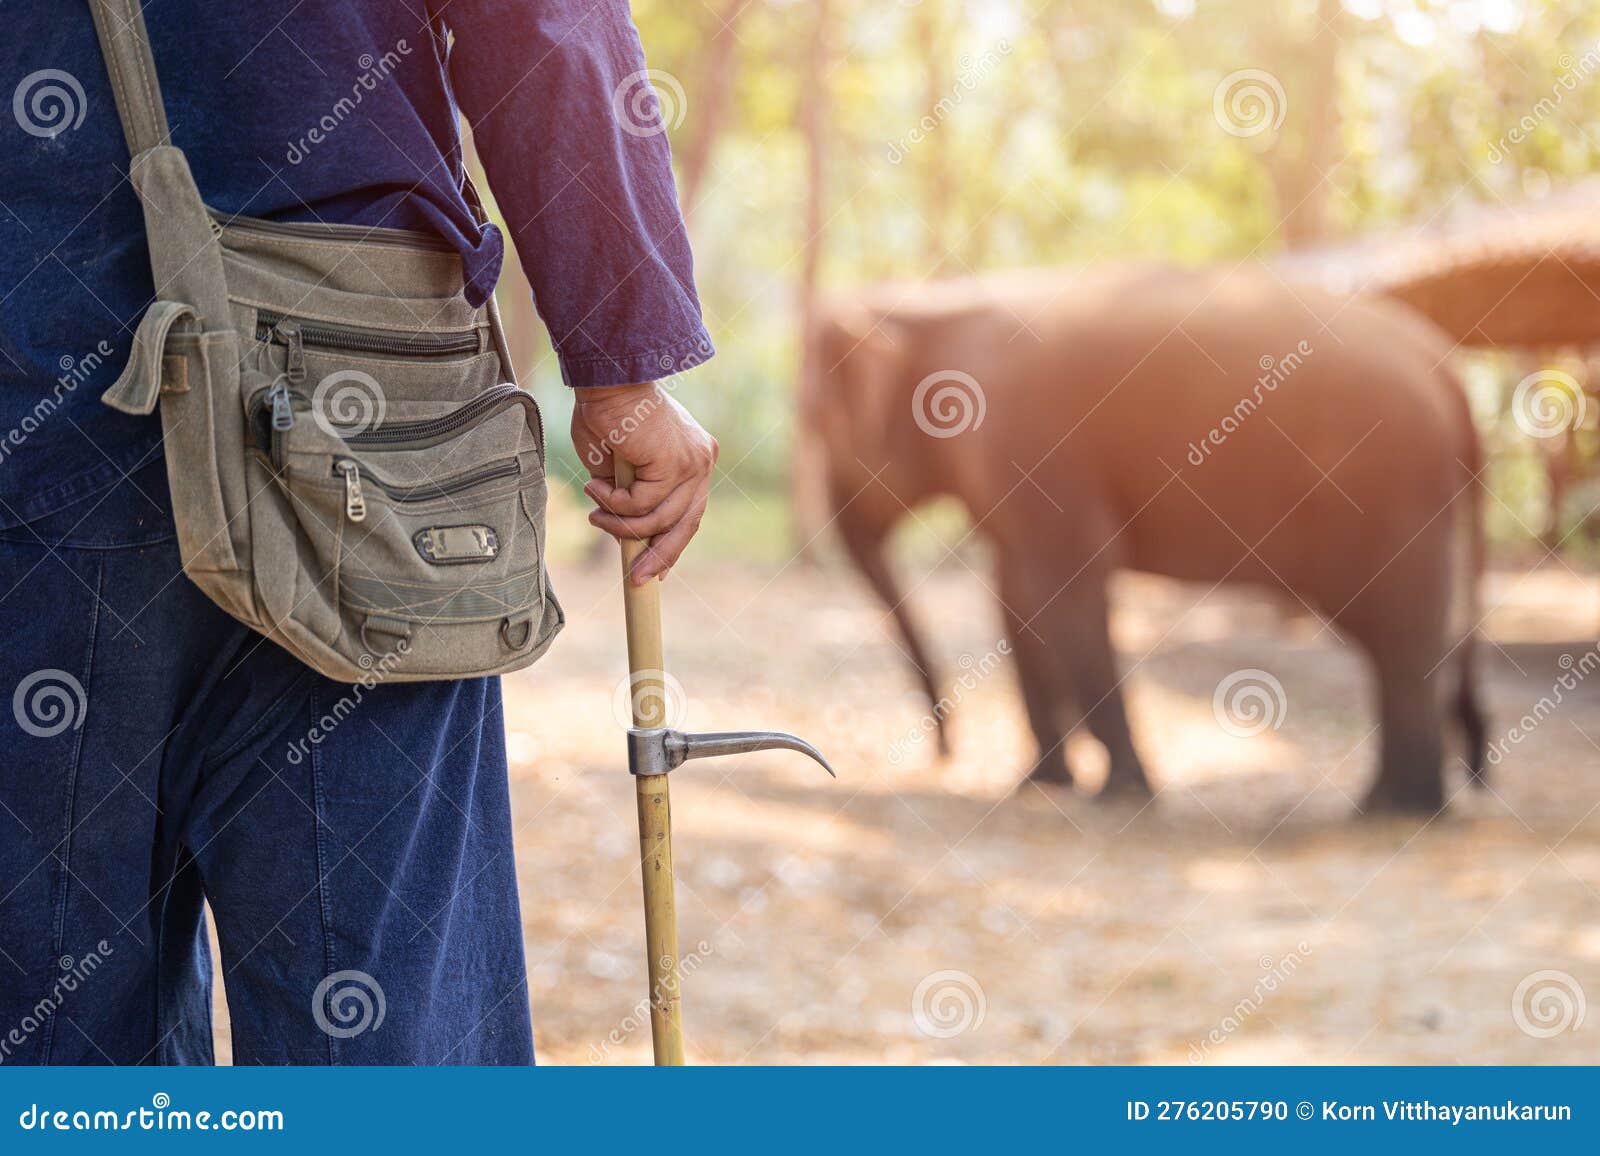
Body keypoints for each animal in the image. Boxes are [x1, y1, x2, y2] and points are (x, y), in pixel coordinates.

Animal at [802, 263, 1487, 813]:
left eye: (815, 424)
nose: (944, 752)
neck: (931, 304)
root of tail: (1450, 375)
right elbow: (1017, 598)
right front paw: (1041, 785)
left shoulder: (1031, 444)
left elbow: (1067, 590)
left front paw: (1121, 793)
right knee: (1394, 645)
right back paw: (1386, 803)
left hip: (1394, 497)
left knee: (1398, 637)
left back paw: (1398, 811)